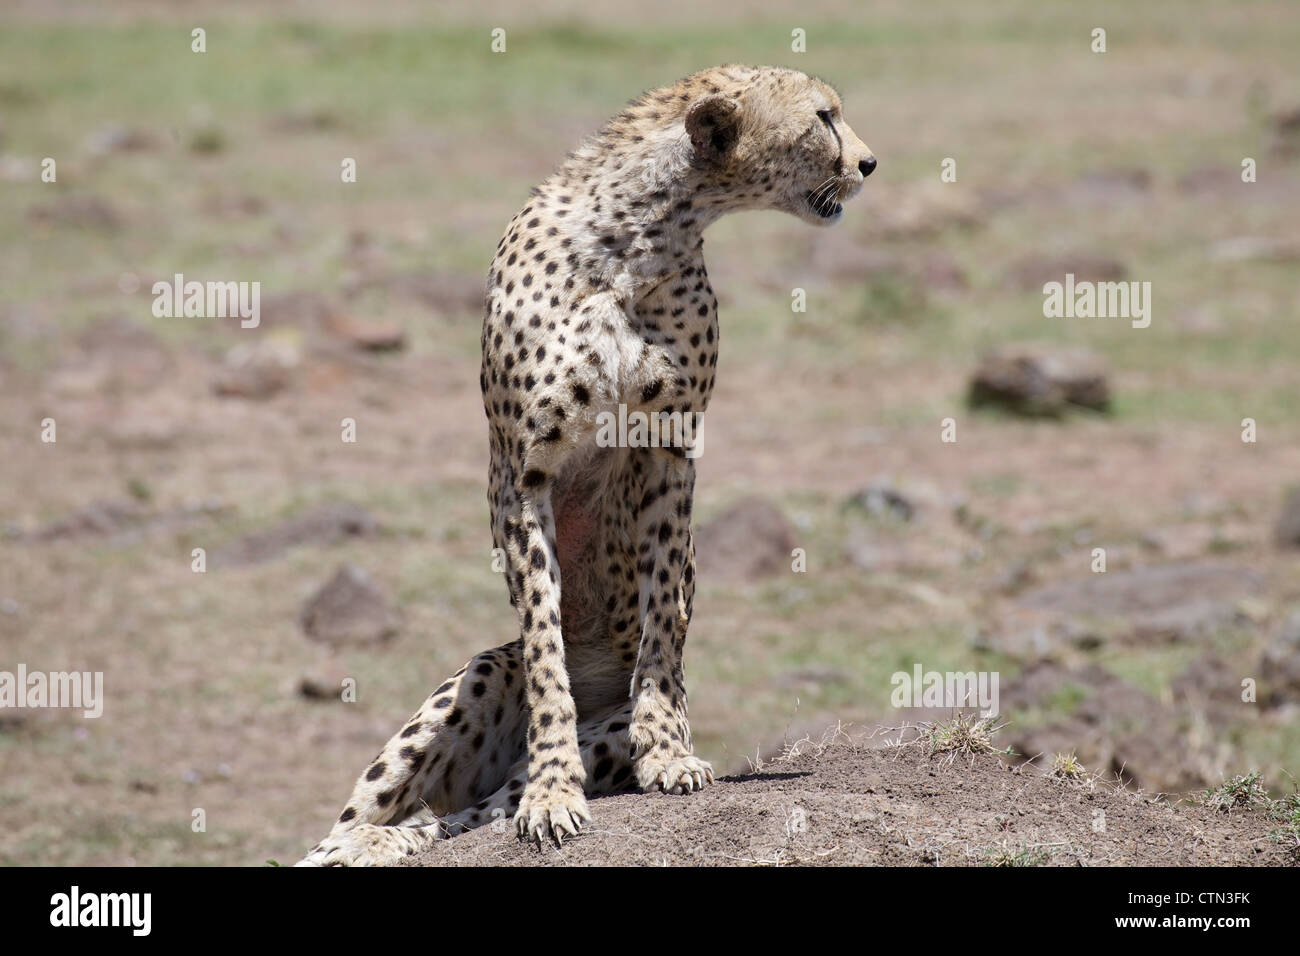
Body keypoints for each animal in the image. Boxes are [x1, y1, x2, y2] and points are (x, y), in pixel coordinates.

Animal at [297, 64, 875, 865]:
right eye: (824, 116)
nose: (869, 163)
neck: (643, 234)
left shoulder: (670, 451)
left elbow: (664, 612)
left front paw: (666, 752)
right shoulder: (526, 475)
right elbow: (547, 646)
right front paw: (553, 794)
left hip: (593, 735)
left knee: (464, 814)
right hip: (478, 674)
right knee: (369, 819)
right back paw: (368, 840)